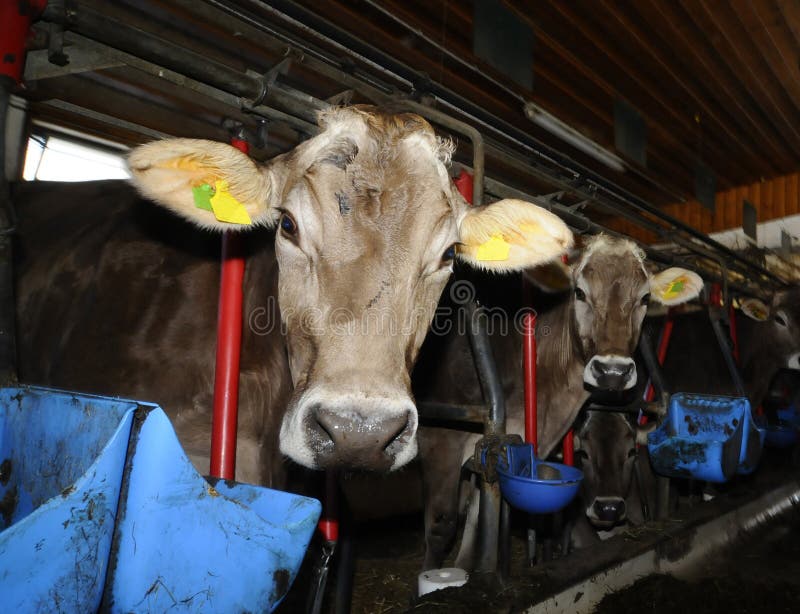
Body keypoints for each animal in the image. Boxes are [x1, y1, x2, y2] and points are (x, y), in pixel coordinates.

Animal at [417, 235, 702, 570]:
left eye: (645, 298)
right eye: (579, 292)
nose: (613, 371)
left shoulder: (497, 450)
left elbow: (479, 516)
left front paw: (465, 569)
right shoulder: (440, 438)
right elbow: (442, 525)